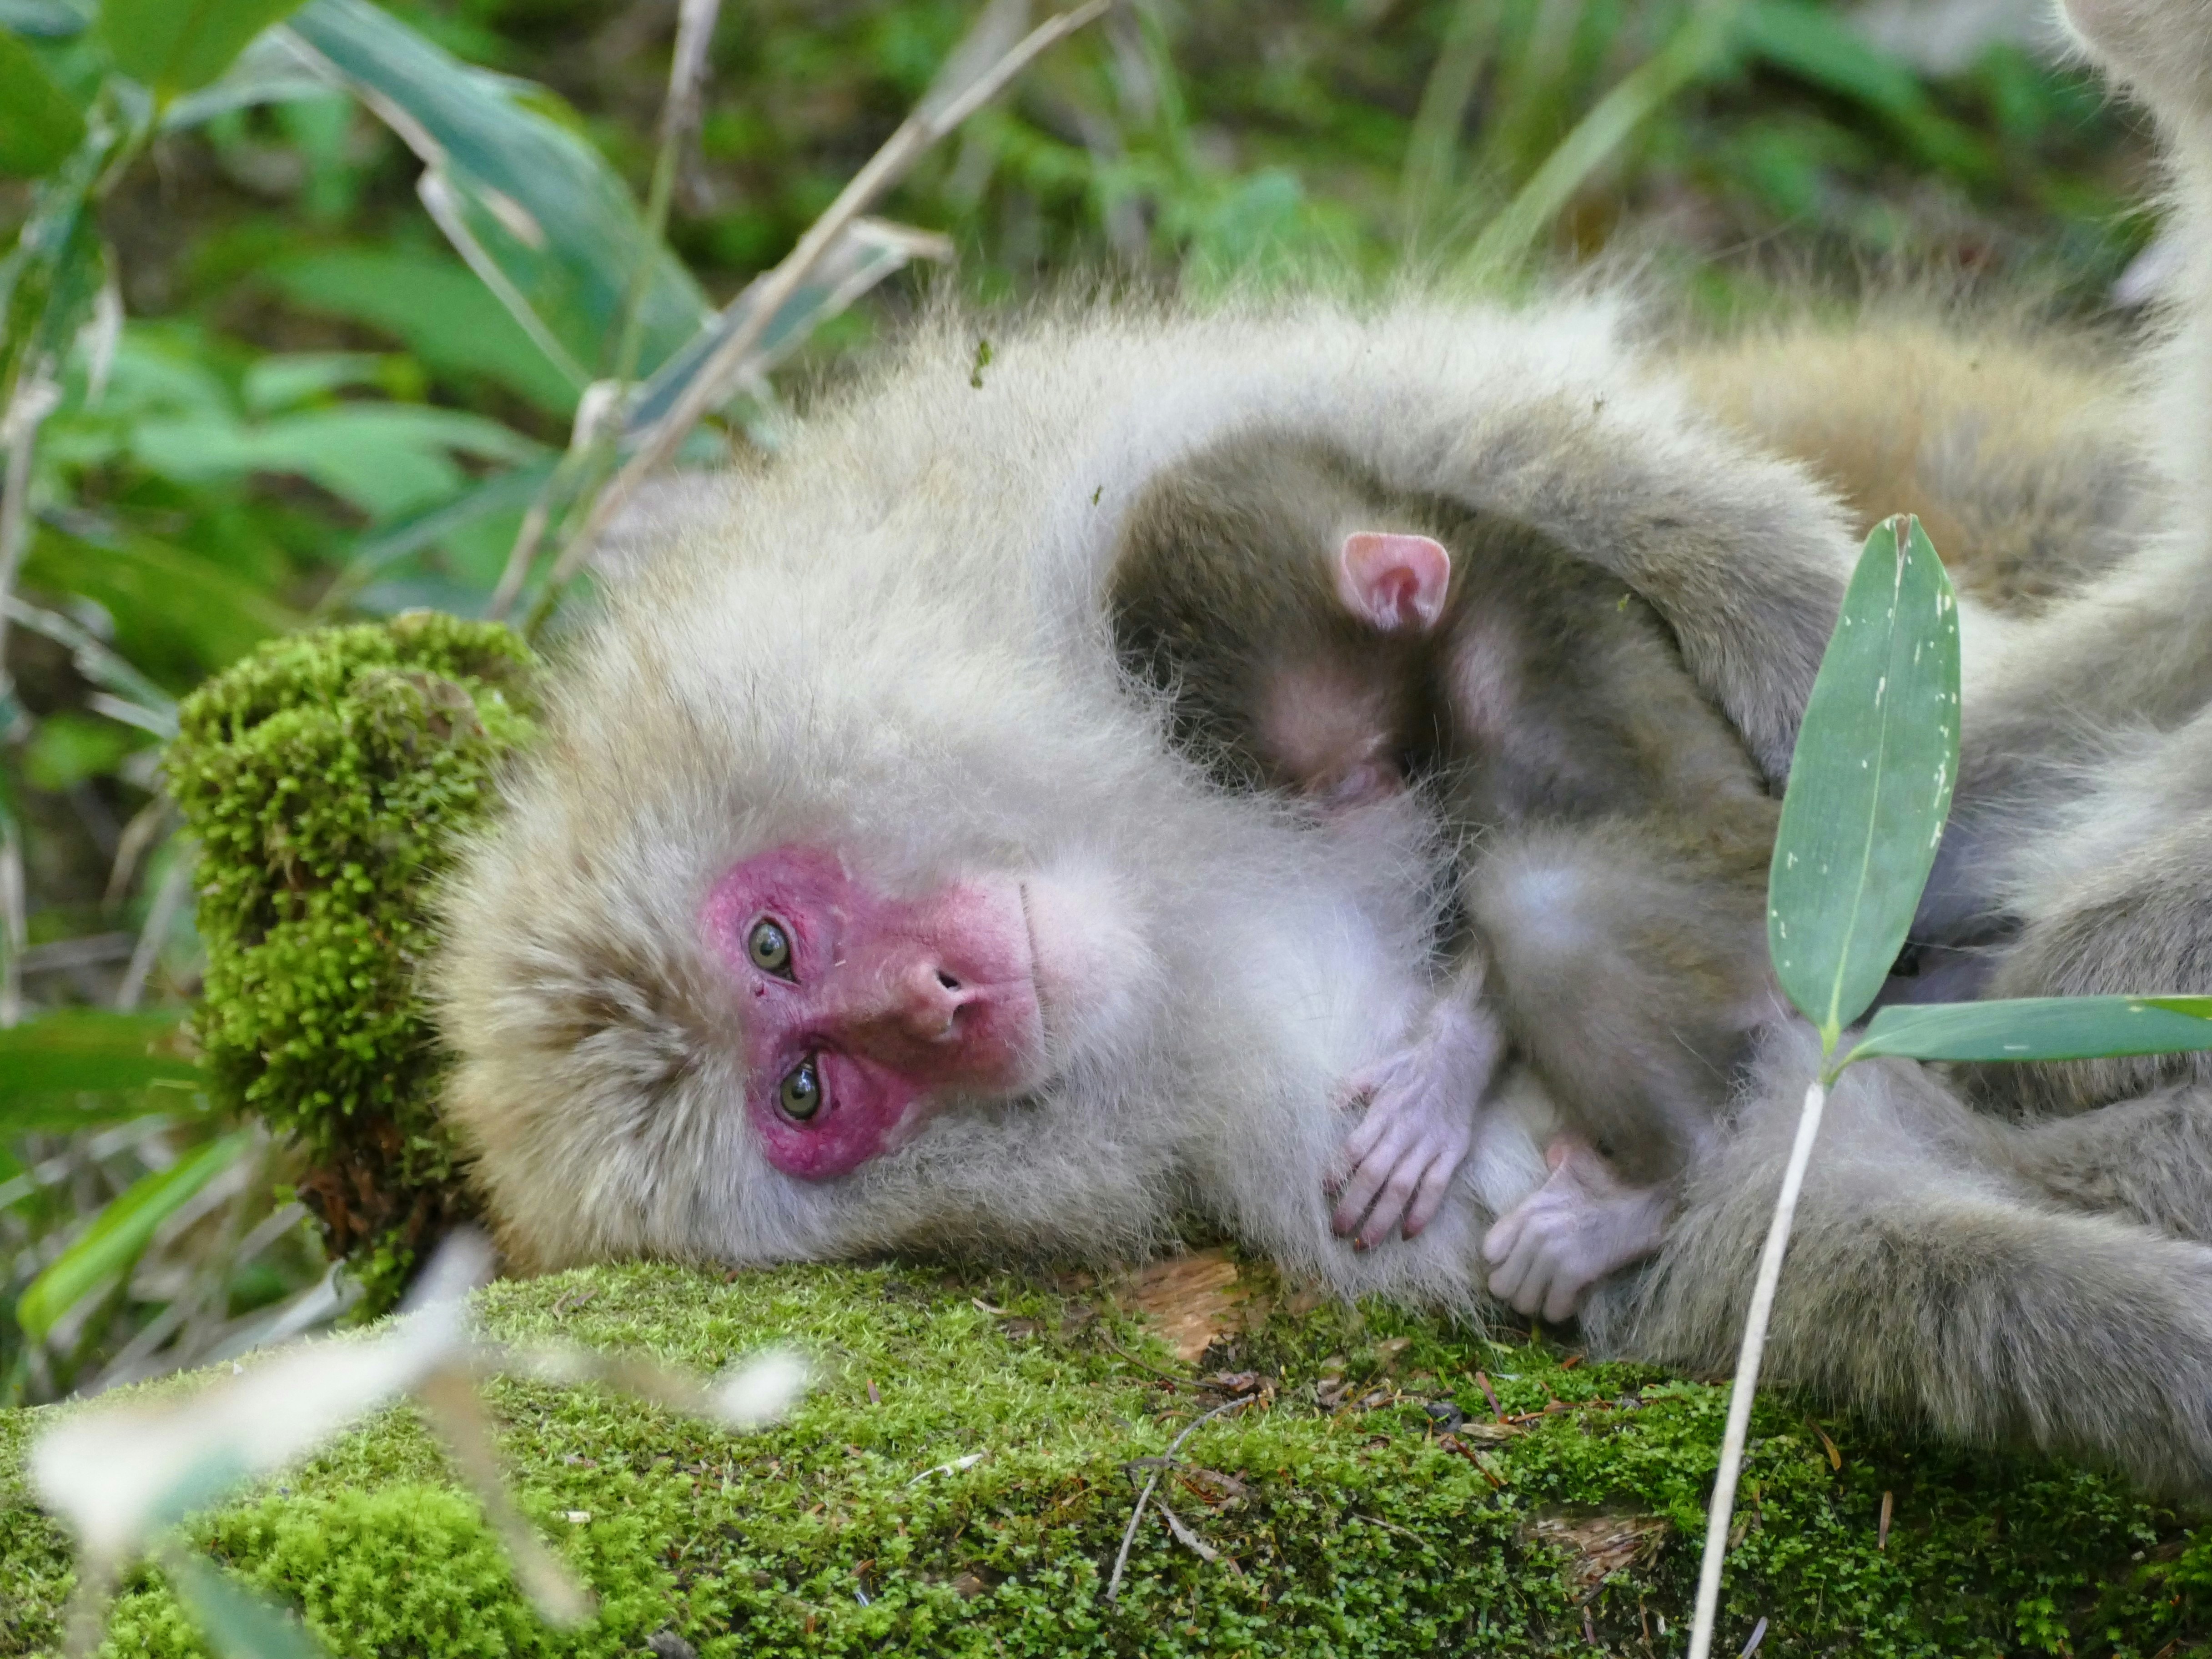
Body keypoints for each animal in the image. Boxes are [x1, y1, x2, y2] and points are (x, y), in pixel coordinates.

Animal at [1106, 431, 1779, 1317]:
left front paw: (1437, 1078)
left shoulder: (1500, 677)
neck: (1461, 565)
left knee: (1539, 904)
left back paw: (1654, 1199)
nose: (1358, 828)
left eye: (1351, 777)